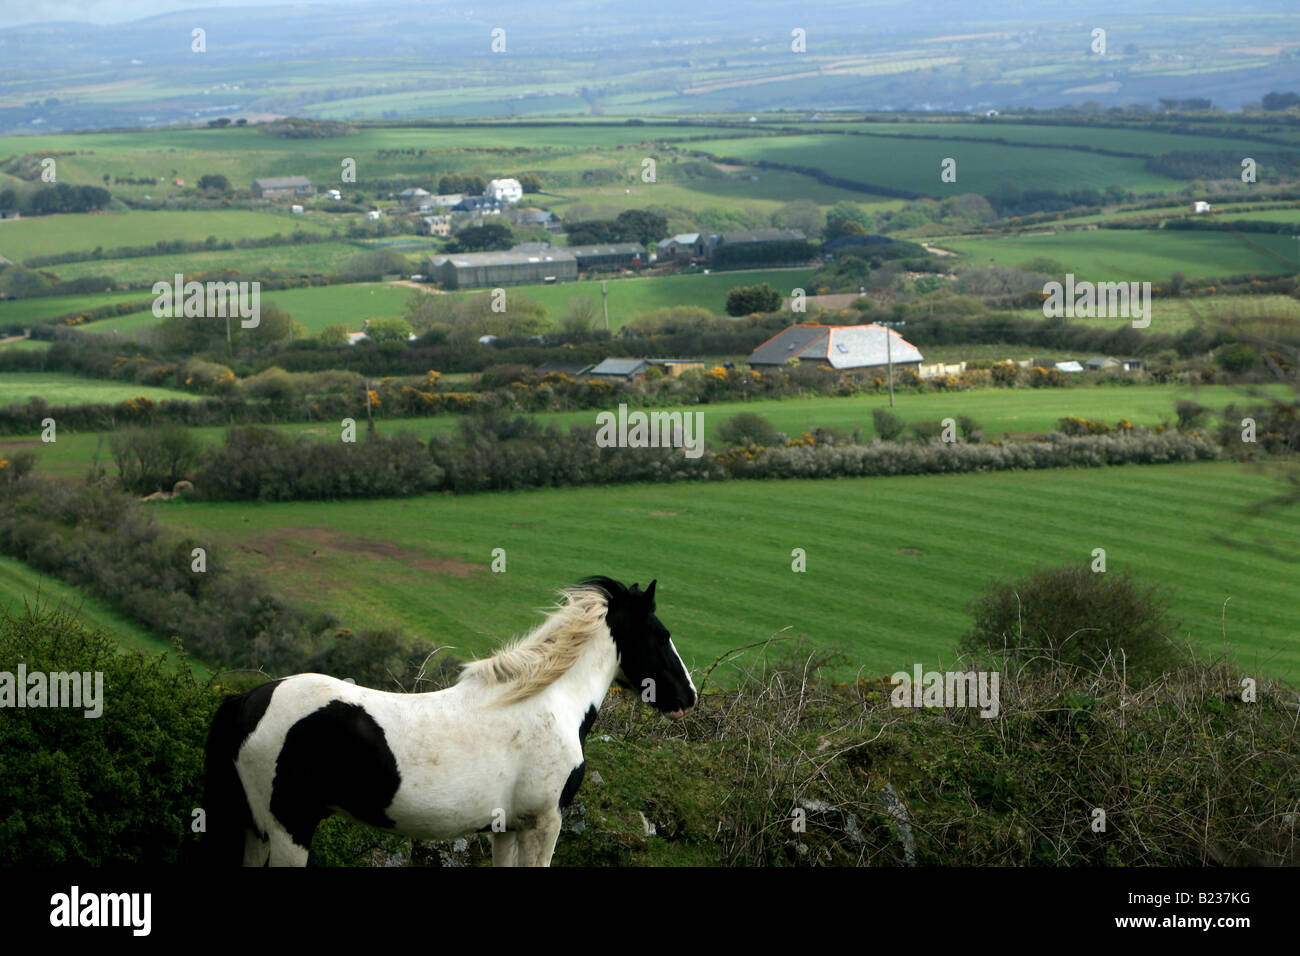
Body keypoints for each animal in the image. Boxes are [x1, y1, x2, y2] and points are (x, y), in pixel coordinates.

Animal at [203, 577, 696, 867]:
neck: (549, 704)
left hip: (254, 832)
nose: (687, 697)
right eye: (661, 634)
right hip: (289, 831)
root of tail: (249, 700)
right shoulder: (544, 823)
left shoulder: (508, 828)